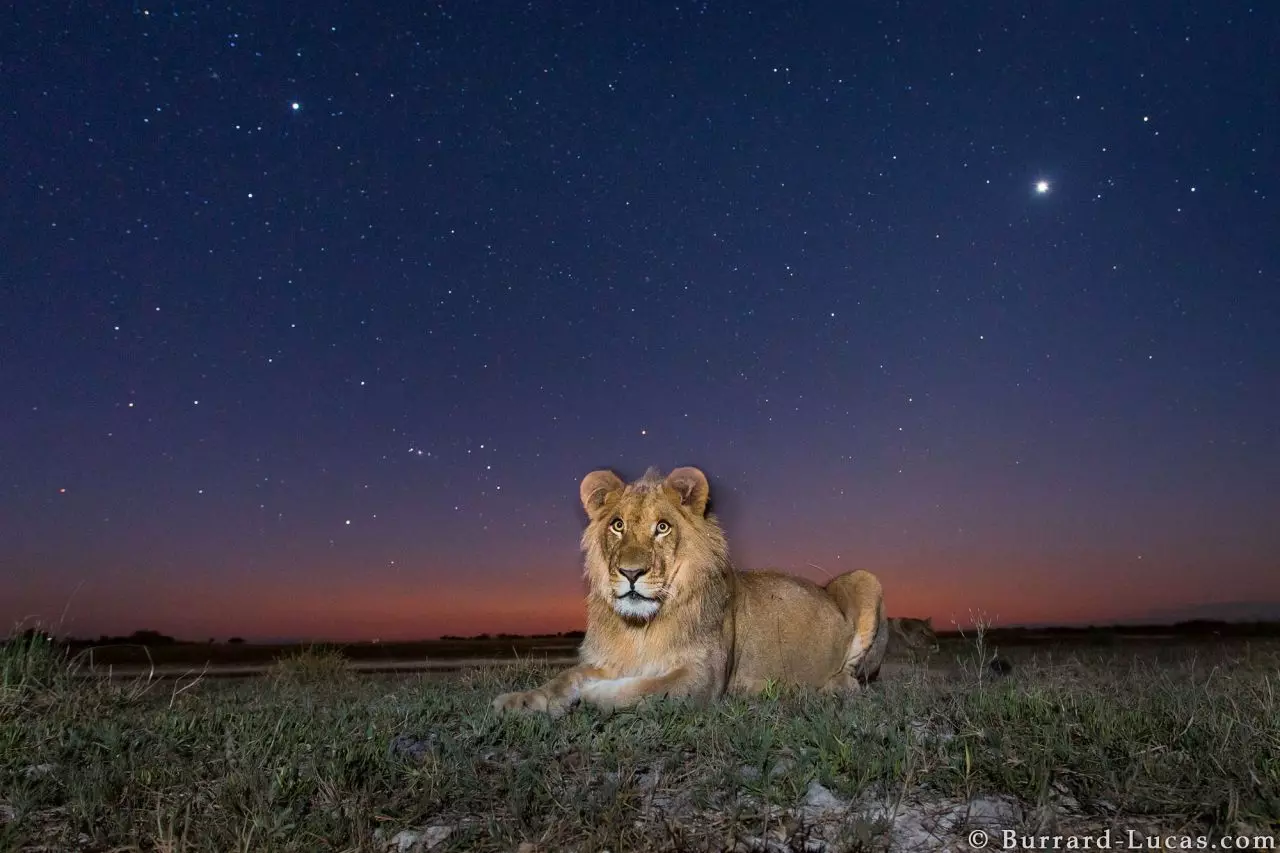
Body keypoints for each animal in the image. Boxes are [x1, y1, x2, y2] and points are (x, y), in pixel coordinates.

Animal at [488, 466, 890, 712]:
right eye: (617, 525)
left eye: (662, 527)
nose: (630, 572)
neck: (640, 628)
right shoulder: (608, 660)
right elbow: (564, 677)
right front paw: (520, 701)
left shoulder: (702, 677)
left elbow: (642, 691)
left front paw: (592, 695)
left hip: (865, 579)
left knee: (854, 681)